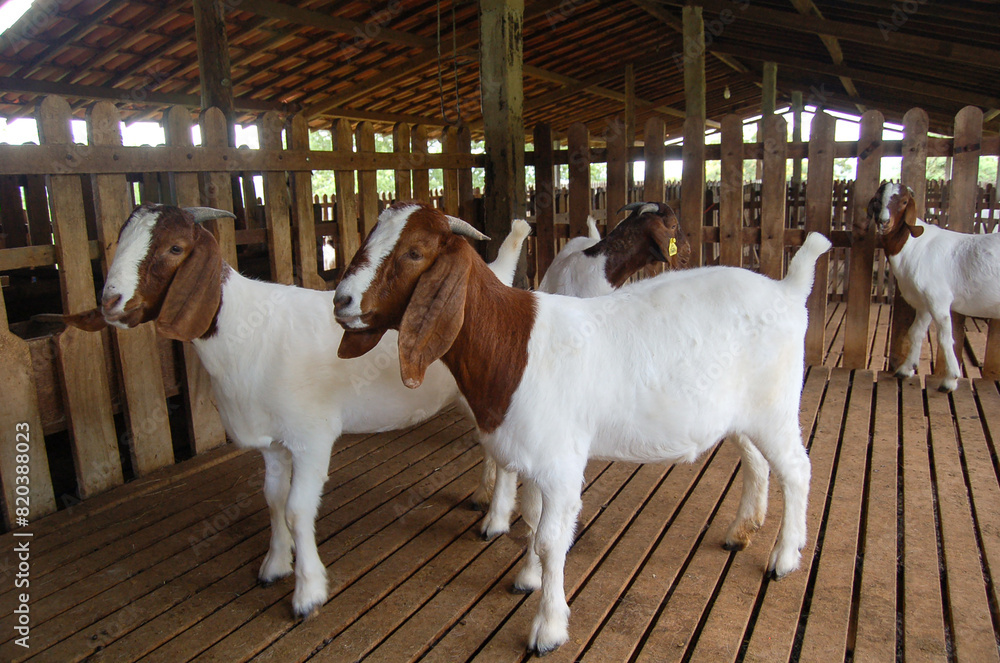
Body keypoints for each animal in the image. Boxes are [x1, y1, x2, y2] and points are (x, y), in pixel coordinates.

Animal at [50, 202, 528, 620]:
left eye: (174, 248)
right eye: (118, 241)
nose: (110, 301)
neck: (246, 333)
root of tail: (495, 275)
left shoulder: (312, 437)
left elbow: (299, 508)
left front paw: (307, 592)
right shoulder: (273, 443)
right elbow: (273, 497)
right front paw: (275, 565)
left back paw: (495, 519)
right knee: (488, 447)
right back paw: (483, 494)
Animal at [866, 182, 1000, 392]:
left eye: (904, 202)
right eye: (878, 200)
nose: (883, 222)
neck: (914, 245)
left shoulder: (938, 299)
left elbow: (944, 338)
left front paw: (950, 380)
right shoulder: (924, 303)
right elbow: (915, 332)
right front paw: (906, 369)